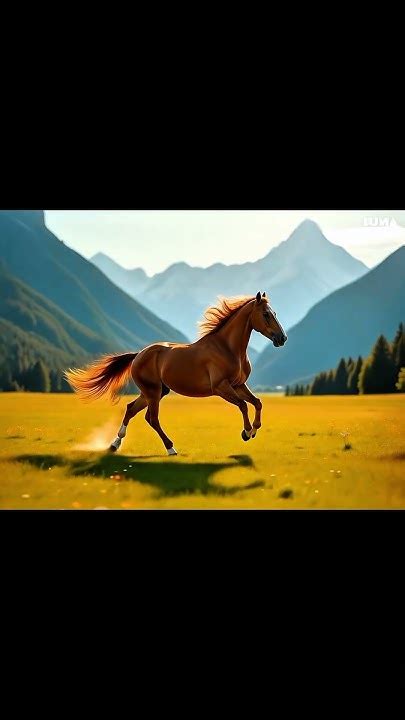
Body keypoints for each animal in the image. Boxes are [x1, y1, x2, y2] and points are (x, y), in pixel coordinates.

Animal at [64, 291, 287, 455]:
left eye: (275, 313)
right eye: (266, 314)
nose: (282, 338)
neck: (227, 348)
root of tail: (138, 355)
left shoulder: (238, 385)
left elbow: (257, 402)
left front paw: (255, 428)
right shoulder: (221, 387)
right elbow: (243, 405)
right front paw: (247, 432)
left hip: (155, 391)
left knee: (131, 409)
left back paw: (115, 444)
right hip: (153, 391)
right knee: (151, 418)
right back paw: (171, 448)